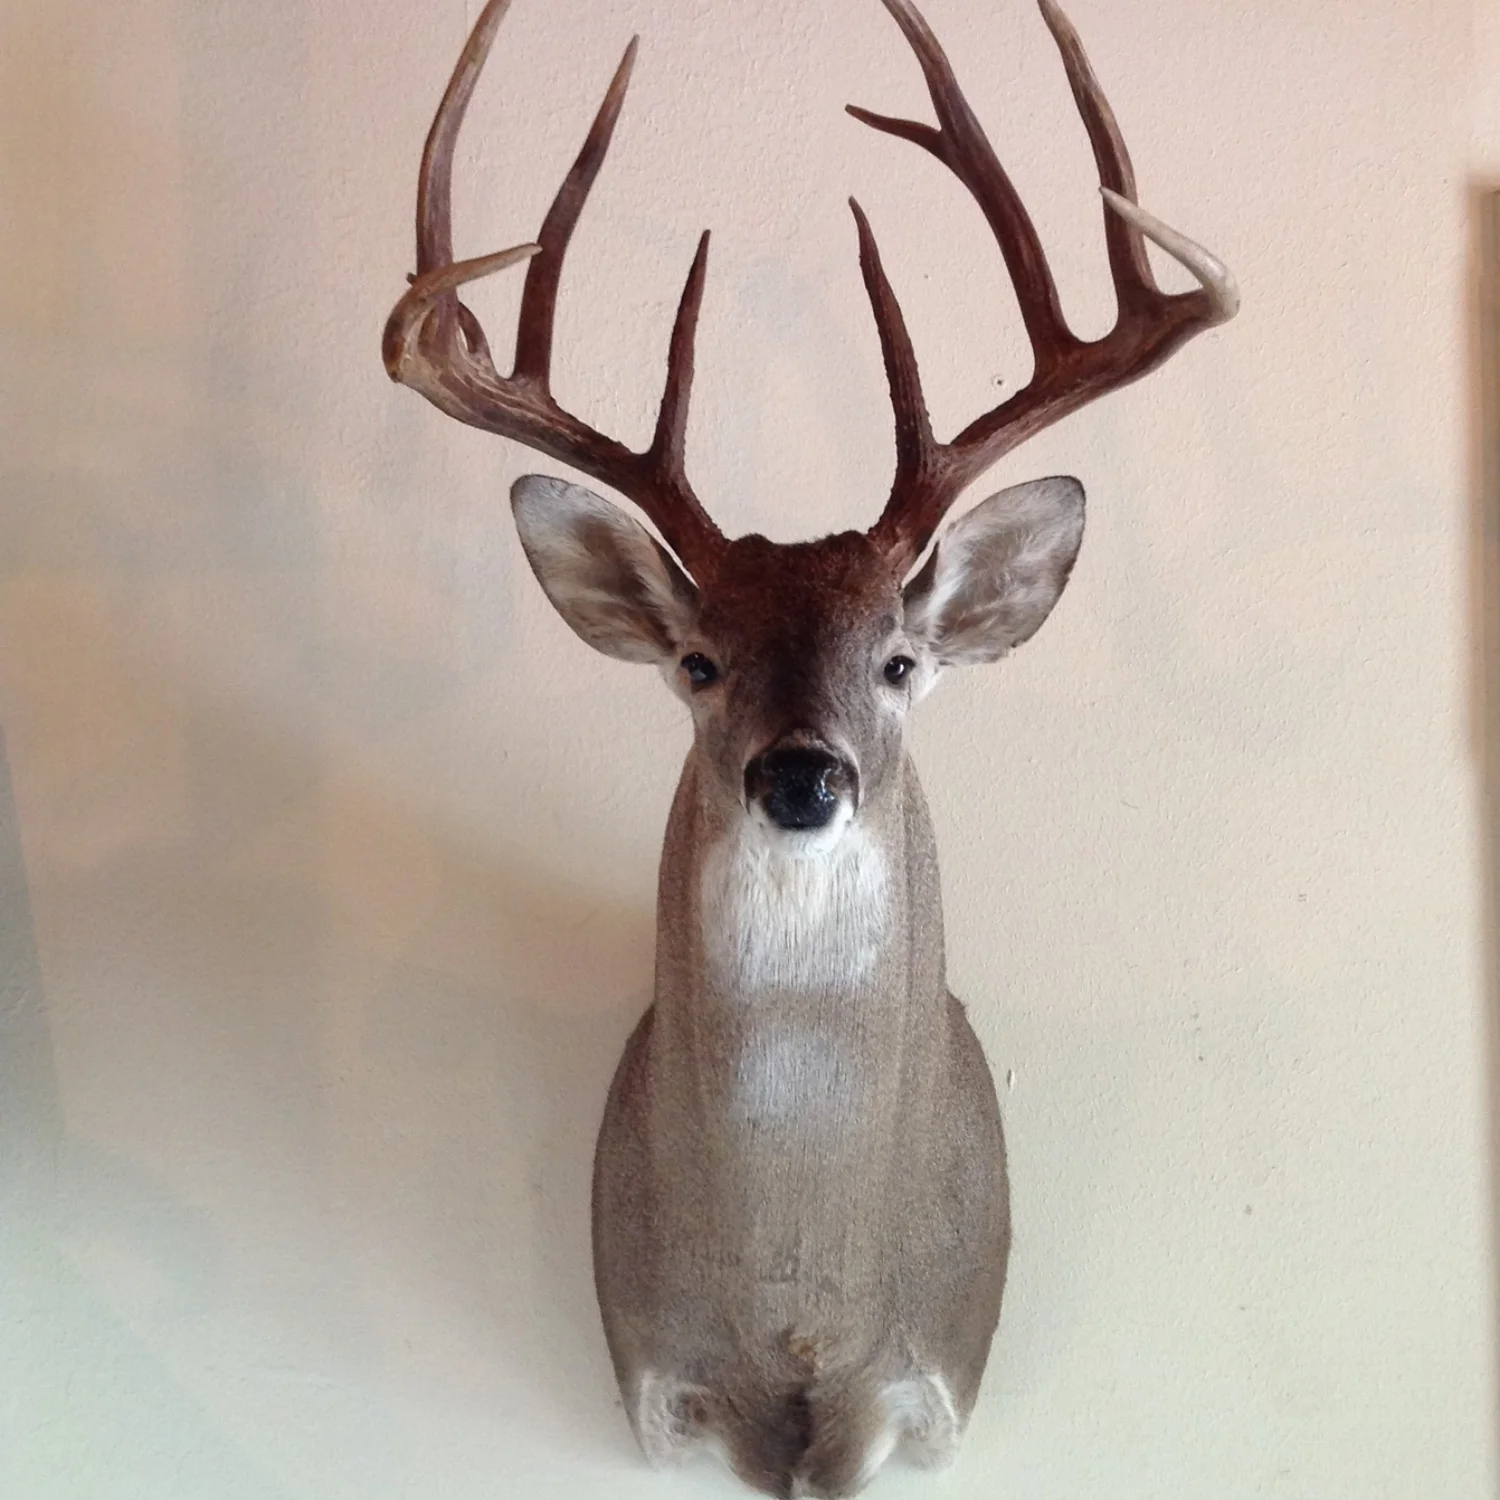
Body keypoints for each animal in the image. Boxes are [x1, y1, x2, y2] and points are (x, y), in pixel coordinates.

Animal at [383, 0, 1236, 1494]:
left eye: (899, 660)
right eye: (698, 662)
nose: (800, 774)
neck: (800, 1305)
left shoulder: (912, 1392)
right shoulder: (664, 1386)